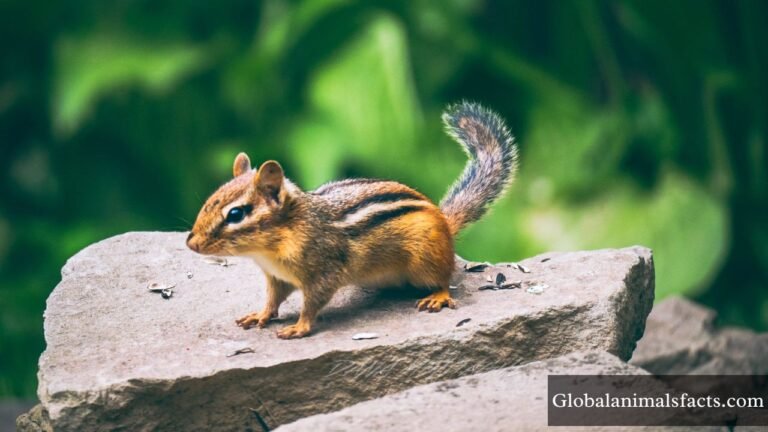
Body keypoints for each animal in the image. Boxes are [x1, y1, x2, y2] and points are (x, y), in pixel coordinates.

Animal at [187, 102, 518, 339]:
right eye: (210, 199)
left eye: (235, 214)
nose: (191, 243)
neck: (271, 247)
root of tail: (443, 221)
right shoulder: (276, 277)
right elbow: (273, 299)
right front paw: (261, 314)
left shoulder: (324, 271)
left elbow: (313, 302)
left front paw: (300, 326)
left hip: (426, 259)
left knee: (444, 279)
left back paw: (438, 296)